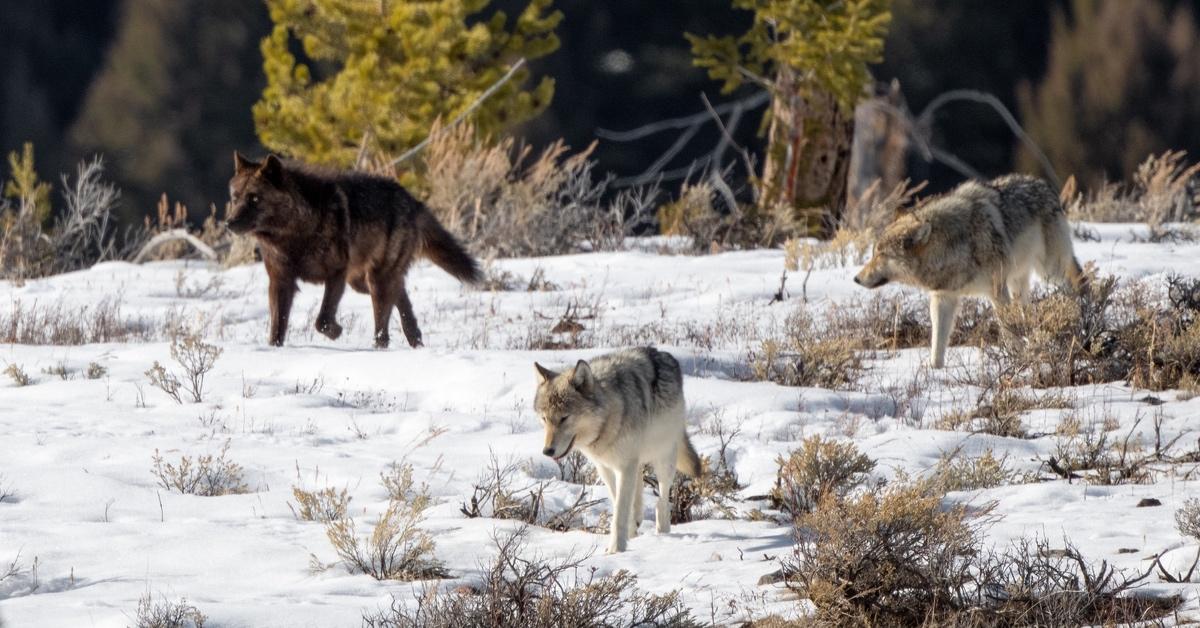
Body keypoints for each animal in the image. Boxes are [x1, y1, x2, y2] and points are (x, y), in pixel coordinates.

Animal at [227, 152, 481, 348]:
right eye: (235, 198)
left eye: (254, 198)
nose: (229, 223)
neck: (296, 232)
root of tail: (413, 201)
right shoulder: (280, 281)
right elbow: (277, 327)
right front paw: (274, 350)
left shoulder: (336, 275)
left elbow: (322, 320)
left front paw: (336, 332)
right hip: (362, 282)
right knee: (400, 294)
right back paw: (415, 339)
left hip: (374, 281)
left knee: (383, 327)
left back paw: (383, 348)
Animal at [534, 347, 702, 553]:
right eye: (544, 418)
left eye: (564, 418)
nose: (547, 451)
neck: (609, 416)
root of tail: (662, 353)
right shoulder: (605, 467)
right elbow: (618, 502)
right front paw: (629, 533)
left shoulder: (624, 465)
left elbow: (620, 511)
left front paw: (616, 549)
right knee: (639, 486)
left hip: (663, 458)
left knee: (662, 500)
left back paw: (662, 531)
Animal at [854, 174, 1086, 368]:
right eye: (873, 253)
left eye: (881, 255)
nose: (856, 278)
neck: (952, 247)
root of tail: (1044, 184)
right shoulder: (943, 297)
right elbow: (937, 340)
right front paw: (934, 369)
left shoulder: (996, 292)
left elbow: (1008, 330)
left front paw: (1018, 358)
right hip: (1018, 284)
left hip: (1050, 271)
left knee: (1080, 283)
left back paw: (1084, 315)